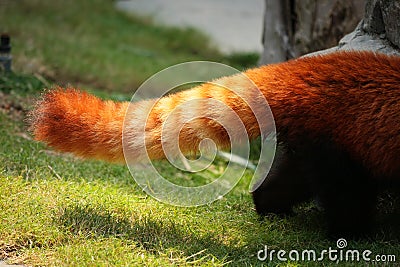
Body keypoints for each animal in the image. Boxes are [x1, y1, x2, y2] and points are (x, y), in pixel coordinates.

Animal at [28, 51, 400, 238]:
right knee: (347, 193)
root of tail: (304, 69)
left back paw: (272, 207)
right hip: (339, 144)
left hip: (320, 139)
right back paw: (353, 234)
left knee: (292, 179)